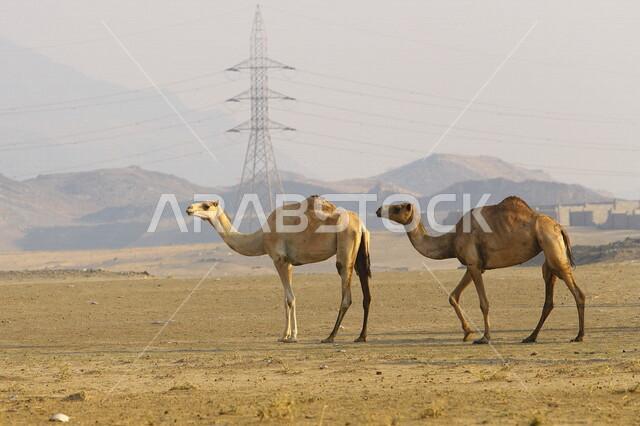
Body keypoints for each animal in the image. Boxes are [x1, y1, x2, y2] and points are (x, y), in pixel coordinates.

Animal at [186, 195, 371, 343]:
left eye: (206, 205)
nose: (189, 208)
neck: (261, 237)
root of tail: (361, 224)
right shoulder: (287, 262)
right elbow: (285, 299)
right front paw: (284, 335)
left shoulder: (279, 259)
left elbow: (290, 298)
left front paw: (293, 337)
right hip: (360, 252)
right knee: (365, 286)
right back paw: (361, 336)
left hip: (345, 247)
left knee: (346, 292)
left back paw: (330, 336)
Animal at [376, 196, 585, 344]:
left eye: (397, 208)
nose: (378, 210)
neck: (452, 239)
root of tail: (559, 226)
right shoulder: (475, 265)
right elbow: (453, 296)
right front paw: (467, 332)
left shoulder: (473, 264)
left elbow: (483, 303)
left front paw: (484, 337)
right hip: (548, 254)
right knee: (549, 296)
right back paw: (530, 337)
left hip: (551, 245)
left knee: (577, 292)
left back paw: (579, 336)